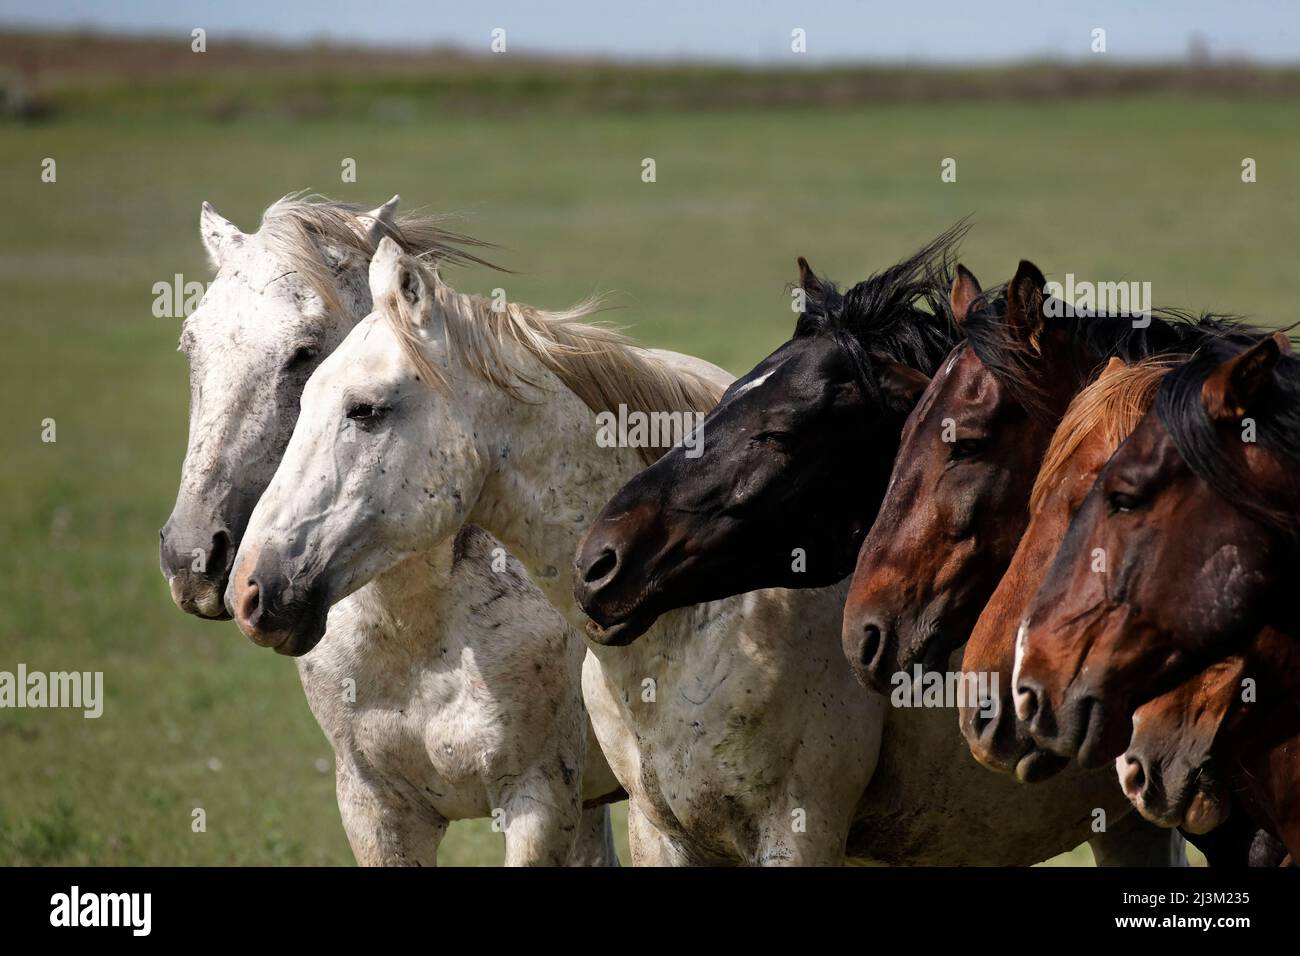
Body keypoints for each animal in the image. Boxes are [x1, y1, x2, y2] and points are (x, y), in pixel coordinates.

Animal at [160, 195, 622, 865]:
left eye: (305, 352)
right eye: (191, 345)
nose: (191, 556)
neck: (418, 630)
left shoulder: (539, 801)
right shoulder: (373, 806)